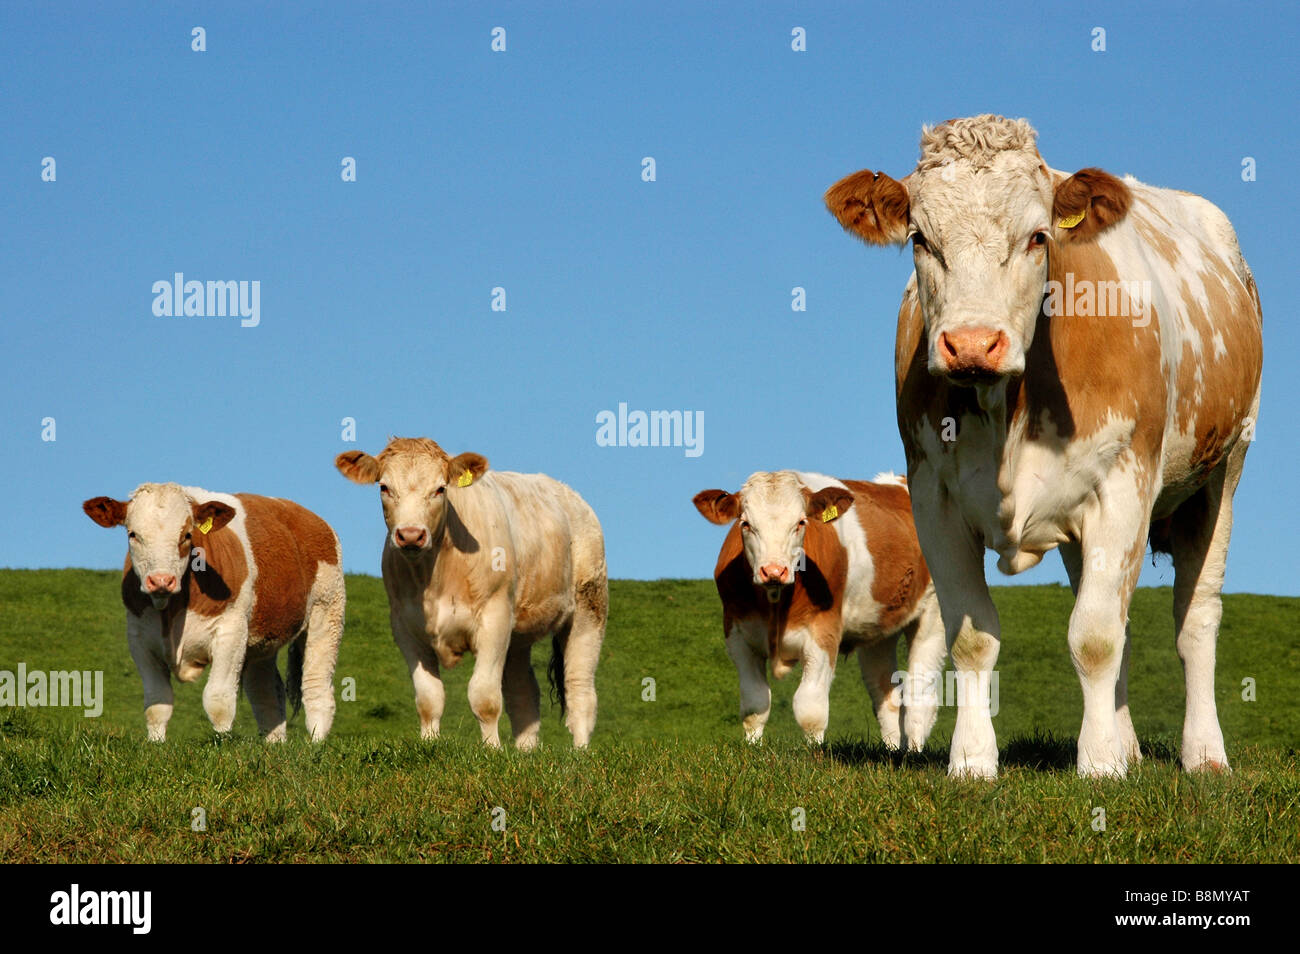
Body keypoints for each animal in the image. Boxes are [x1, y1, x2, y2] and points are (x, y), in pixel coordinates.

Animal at [83, 483, 345, 742]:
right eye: (133, 534)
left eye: (186, 535)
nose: (161, 580)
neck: (172, 611)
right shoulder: (139, 639)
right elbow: (157, 702)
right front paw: (156, 744)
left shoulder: (231, 631)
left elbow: (218, 699)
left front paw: (222, 744)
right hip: (263, 639)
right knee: (267, 693)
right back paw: (274, 745)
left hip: (327, 612)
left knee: (316, 687)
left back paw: (316, 744)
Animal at [335, 437, 607, 749]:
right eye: (384, 487)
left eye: (440, 489)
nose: (411, 534)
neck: (434, 577)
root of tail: (570, 495)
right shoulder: (405, 627)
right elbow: (429, 698)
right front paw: (429, 744)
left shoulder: (494, 618)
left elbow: (484, 697)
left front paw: (492, 750)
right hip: (518, 635)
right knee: (524, 693)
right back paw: (526, 751)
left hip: (589, 608)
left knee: (580, 689)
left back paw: (580, 752)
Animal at [693, 471, 947, 749]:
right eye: (745, 524)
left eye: (801, 522)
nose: (773, 571)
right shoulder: (737, 635)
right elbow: (755, 704)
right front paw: (752, 749)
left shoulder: (823, 632)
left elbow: (810, 708)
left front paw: (812, 752)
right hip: (878, 627)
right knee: (886, 695)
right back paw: (893, 750)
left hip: (933, 613)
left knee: (920, 697)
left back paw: (915, 751)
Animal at [825, 114, 1263, 778]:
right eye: (920, 239)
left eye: (1037, 237)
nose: (972, 344)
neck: (1006, 410)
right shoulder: (933, 497)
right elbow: (975, 638)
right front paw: (973, 762)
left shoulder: (1124, 482)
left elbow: (1096, 637)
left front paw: (1099, 767)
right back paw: (1129, 746)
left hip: (1222, 474)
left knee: (1196, 618)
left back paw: (1205, 755)